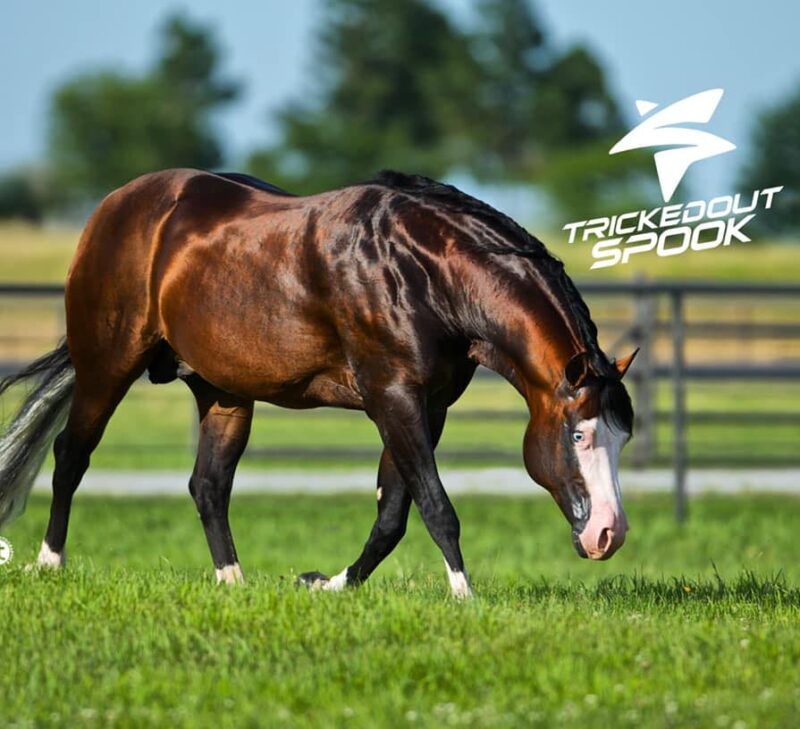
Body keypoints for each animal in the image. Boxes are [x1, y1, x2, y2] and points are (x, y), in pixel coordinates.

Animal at [0, 169, 637, 597]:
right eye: (578, 435)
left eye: (622, 437)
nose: (609, 534)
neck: (422, 269)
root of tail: (115, 206)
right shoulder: (393, 398)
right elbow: (435, 506)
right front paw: (464, 595)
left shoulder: (426, 407)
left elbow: (392, 514)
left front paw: (329, 583)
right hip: (106, 366)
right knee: (71, 455)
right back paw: (48, 562)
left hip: (224, 393)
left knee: (208, 485)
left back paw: (233, 581)